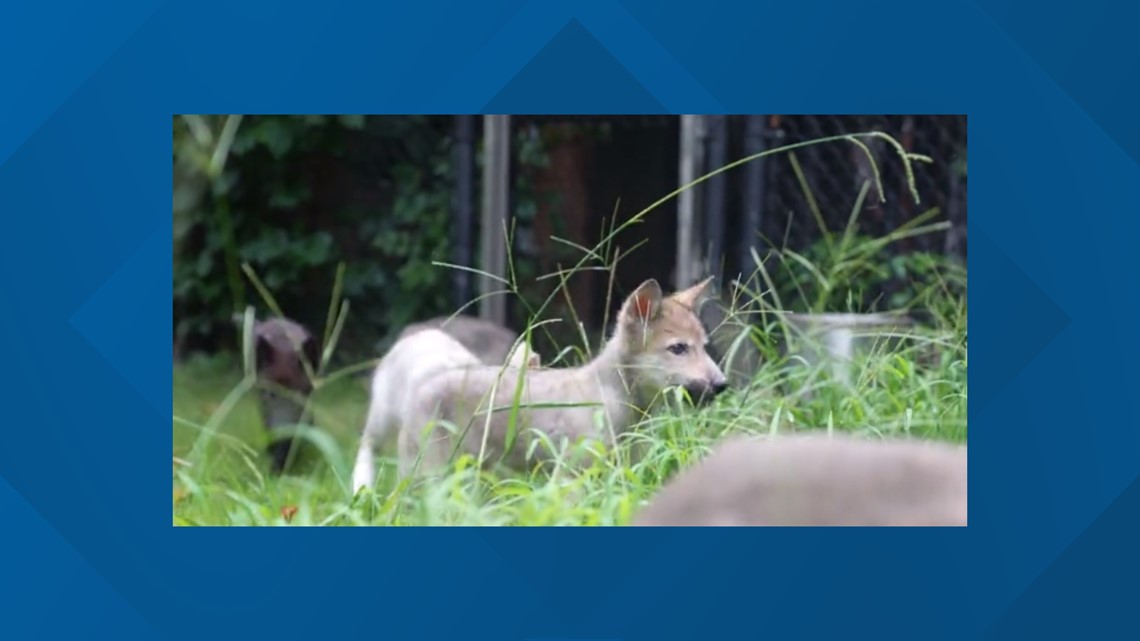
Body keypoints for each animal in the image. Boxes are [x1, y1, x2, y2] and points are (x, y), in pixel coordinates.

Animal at [398, 277, 729, 478]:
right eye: (679, 348)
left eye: (705, 347)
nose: (722, 385)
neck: (614, 399)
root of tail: (423, 384)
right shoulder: (570, 474)